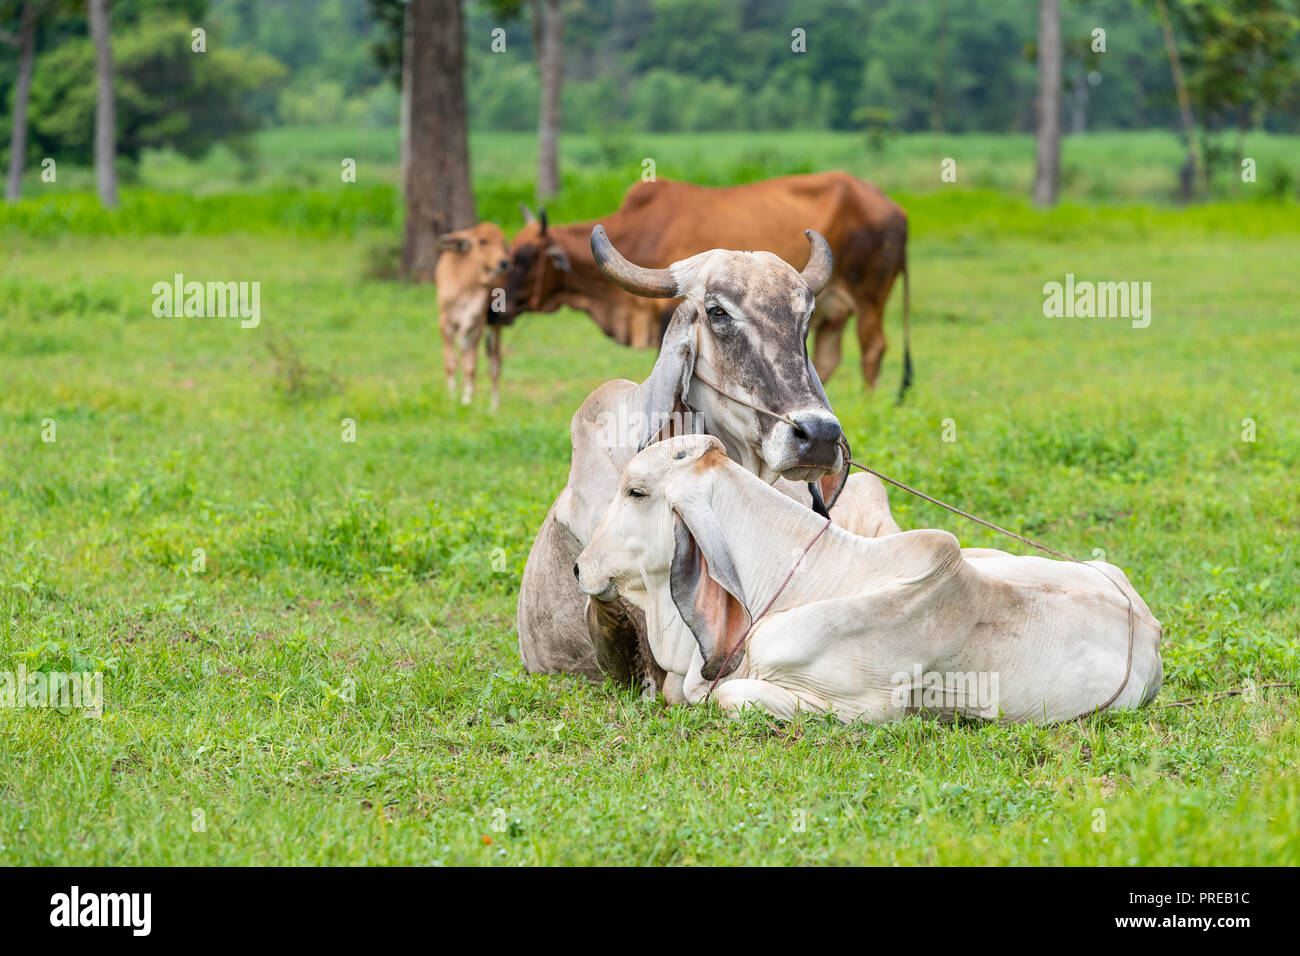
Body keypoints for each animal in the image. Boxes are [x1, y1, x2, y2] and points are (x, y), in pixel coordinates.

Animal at [435, 222, 510, 411]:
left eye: (503, 241)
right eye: (482, 241)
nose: (504, 263)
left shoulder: (477, 324)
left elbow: (471, 366)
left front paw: (467, 399)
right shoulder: (445, 322)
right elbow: (450, 363)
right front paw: (451, 396)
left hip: (495, 327)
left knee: (495, 365)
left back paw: (494, 407)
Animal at [501, 171, 911, 396]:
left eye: (525, 256)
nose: (495, 310)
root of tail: (896, 208)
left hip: (869, 296)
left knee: (873, 348)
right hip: (834, 311)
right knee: (827, 359)